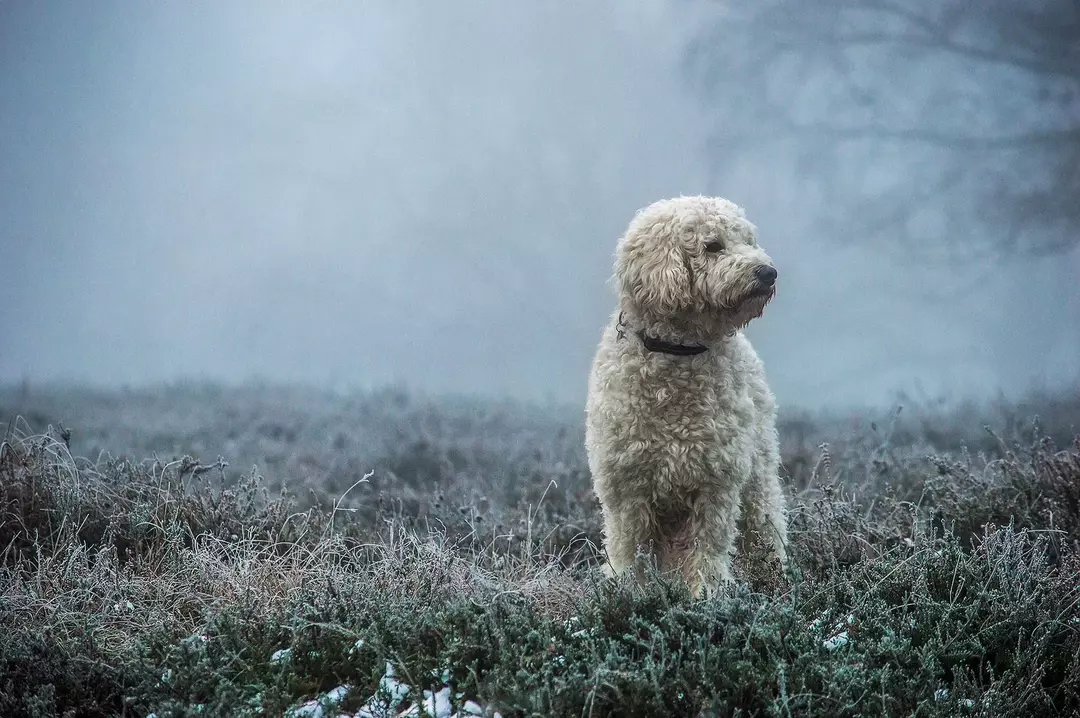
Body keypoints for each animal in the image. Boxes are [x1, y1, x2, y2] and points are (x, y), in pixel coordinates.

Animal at [587, 193, 790, 595]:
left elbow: (708, 550)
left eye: (749, 241)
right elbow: (627, 549)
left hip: (758, 478)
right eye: (712, 246)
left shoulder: (716, 483)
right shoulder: (626, 488)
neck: (678, 352)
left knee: (765, 527)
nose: (768, 273)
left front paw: (710, 595)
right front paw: (626, 593)